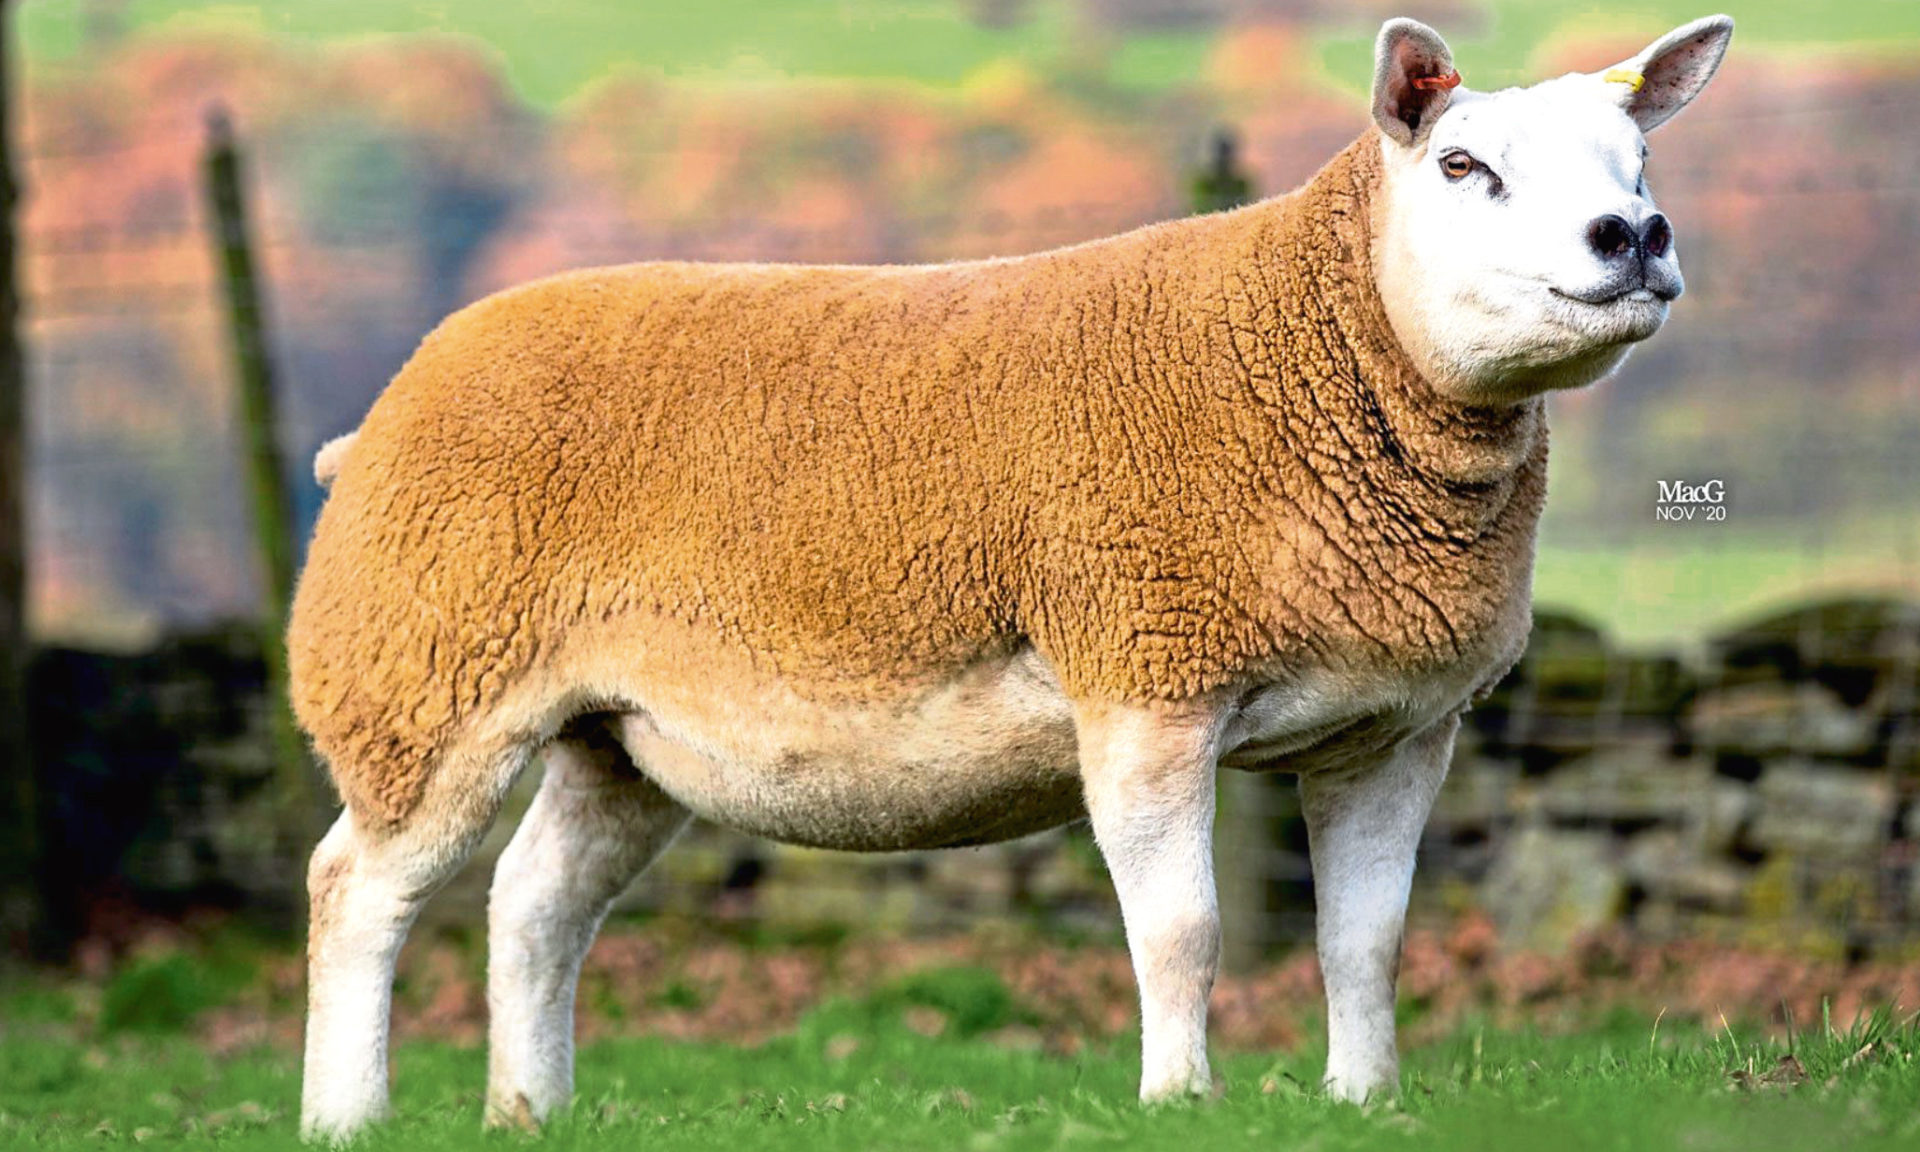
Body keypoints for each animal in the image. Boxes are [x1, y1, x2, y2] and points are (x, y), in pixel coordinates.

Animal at [292, 14, 1733, 1140]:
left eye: (1643, 160)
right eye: (1462, 164)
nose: (1634, 234)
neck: (1311, 354)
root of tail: (379, 414)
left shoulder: (1395, 725)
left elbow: (1366, 940)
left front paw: (1365, 1104)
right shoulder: (1145, 676)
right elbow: (1183, 931)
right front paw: (1180, 1103)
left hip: (618, 734)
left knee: (535, 906)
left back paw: (528, 1112)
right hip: (420, 677)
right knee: (356, 891)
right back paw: (345, 1117)